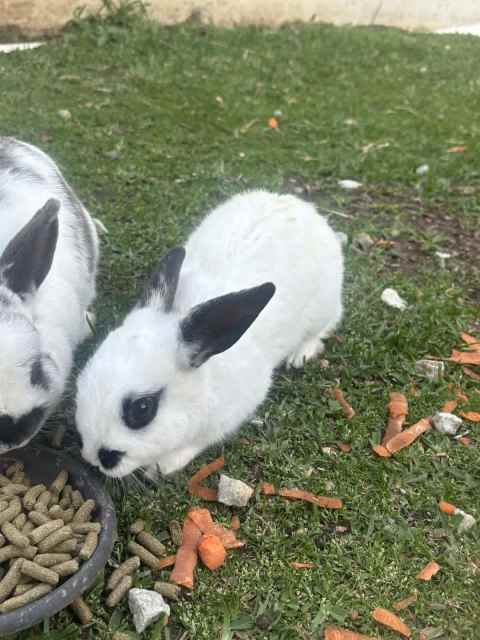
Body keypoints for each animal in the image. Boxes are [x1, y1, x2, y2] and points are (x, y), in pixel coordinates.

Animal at [75, 190, 343, 478]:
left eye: (143, 408)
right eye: (85, 374)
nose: (94, 458)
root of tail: (300, 206)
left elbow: (195, 443)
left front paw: (160, 467)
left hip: (324, 309)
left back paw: (299, 355)